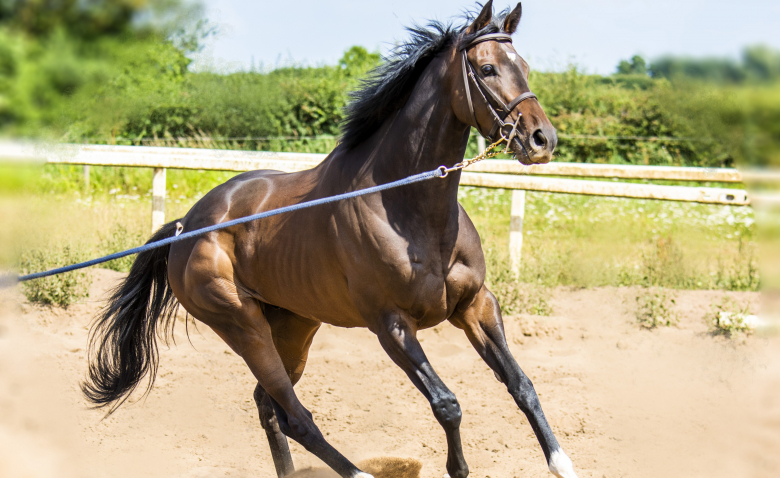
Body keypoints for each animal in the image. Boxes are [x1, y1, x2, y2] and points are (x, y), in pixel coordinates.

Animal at [82, 2, 578, 478]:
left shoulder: (475, 305)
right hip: (243, 326)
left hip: (294, 325)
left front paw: (562, 465)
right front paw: (458, 469)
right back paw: (358, 474)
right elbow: (447, 404)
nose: (542, 139)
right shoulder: (392, 325)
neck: (407, 208)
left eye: (525, 66)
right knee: (297, 417)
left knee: (269, 407)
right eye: (488, 68)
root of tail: (188, 226)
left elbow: (521, 385)